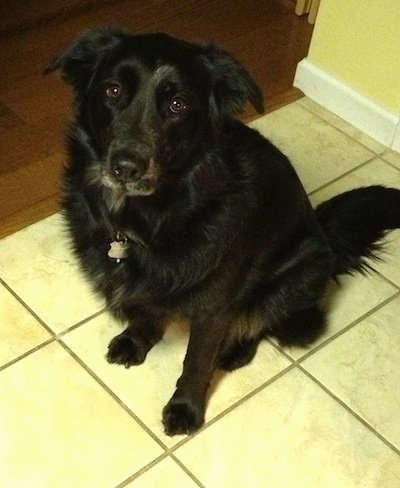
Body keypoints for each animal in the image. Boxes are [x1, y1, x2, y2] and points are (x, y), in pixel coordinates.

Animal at [46, 28, 400, 436]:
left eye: (179, 104)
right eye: (113, 90)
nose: (126, 167)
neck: (153, 218)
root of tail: (324, 234)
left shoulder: (215, 308)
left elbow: (196, 361)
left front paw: (185, 407)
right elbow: (146, 310)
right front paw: (138, 339)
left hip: (294, 285)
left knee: (259, 322)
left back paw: (233, 349)